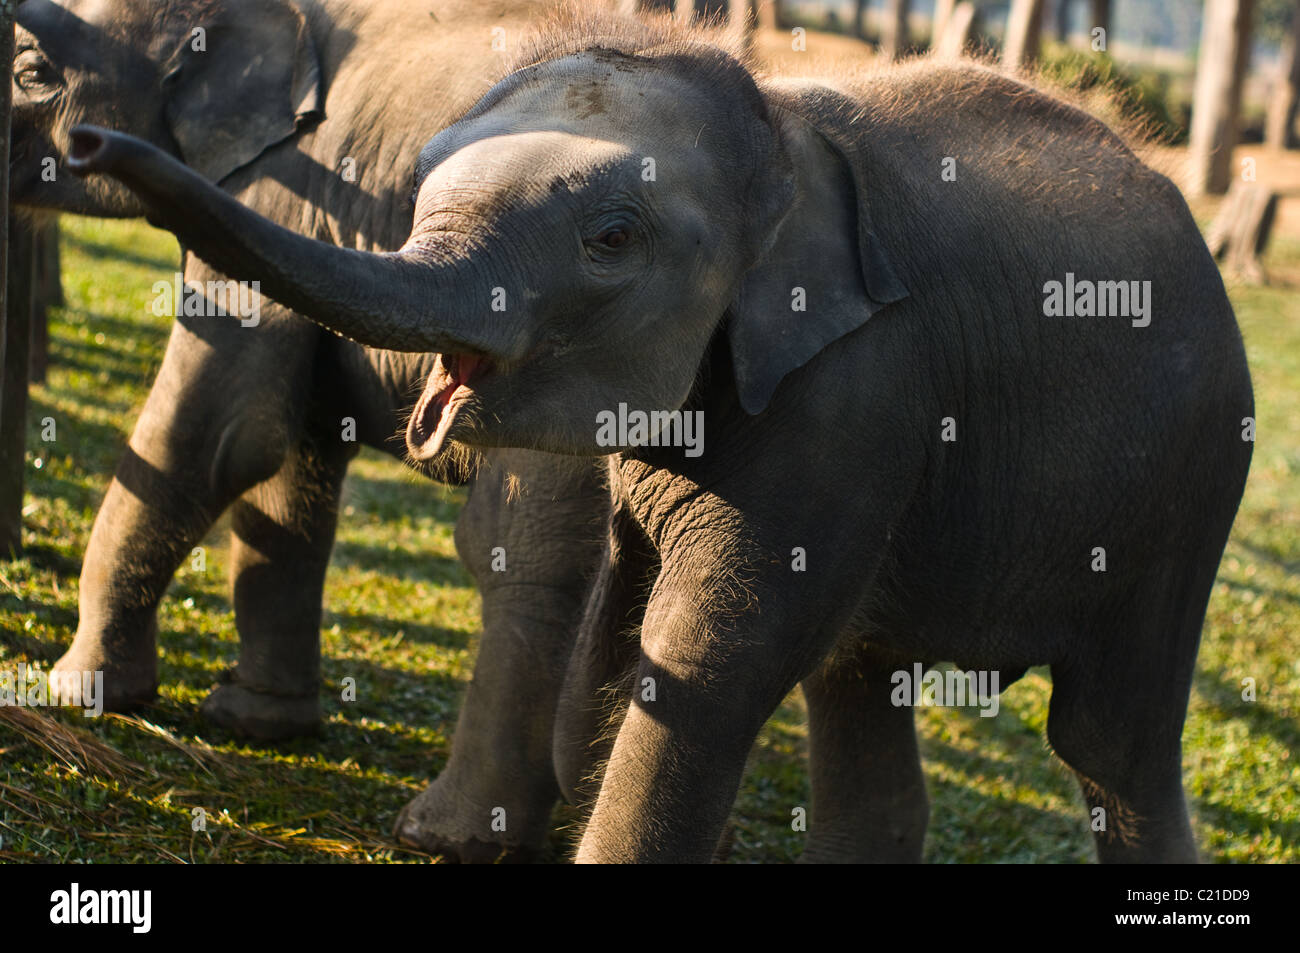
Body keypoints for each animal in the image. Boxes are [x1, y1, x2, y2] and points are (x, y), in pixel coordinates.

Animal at [12, 0, 610, 862]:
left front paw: (75, 693)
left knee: (527, 555)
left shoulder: (275, 202)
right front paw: (256, 722)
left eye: (31, 73)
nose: (87, 149)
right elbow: (295, 460)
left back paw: (453, 837)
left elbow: (220, 428)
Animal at [68, 12, 1255, 863]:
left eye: (610, 238)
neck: (782, 133)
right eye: (423, 178)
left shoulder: (853, 391)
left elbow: (705, 655)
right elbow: (621, 608)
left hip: (1194, 484)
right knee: (862, 684)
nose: (83, 139)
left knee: (1106, 737)